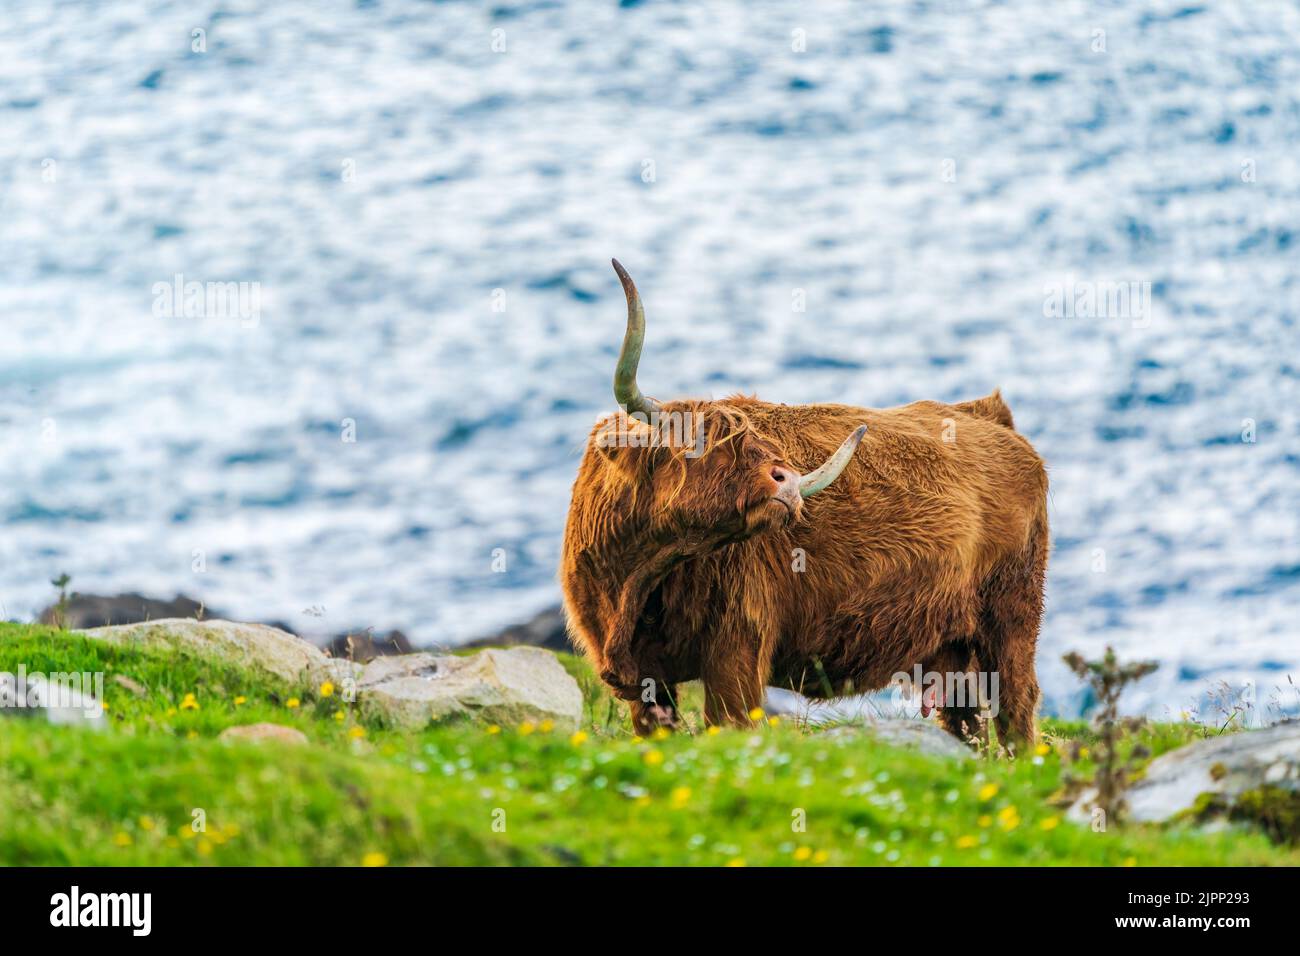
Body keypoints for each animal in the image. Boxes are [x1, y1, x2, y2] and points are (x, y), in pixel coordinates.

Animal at [560, 260, 1049, 752]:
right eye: (704, 442)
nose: (787, 480)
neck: (637, 579)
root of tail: (989, 414)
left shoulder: (736, 654)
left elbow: (732, 724)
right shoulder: (645, 683)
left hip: (1011, 617)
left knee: (1017, 704)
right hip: (951, 647)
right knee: (967, 721)